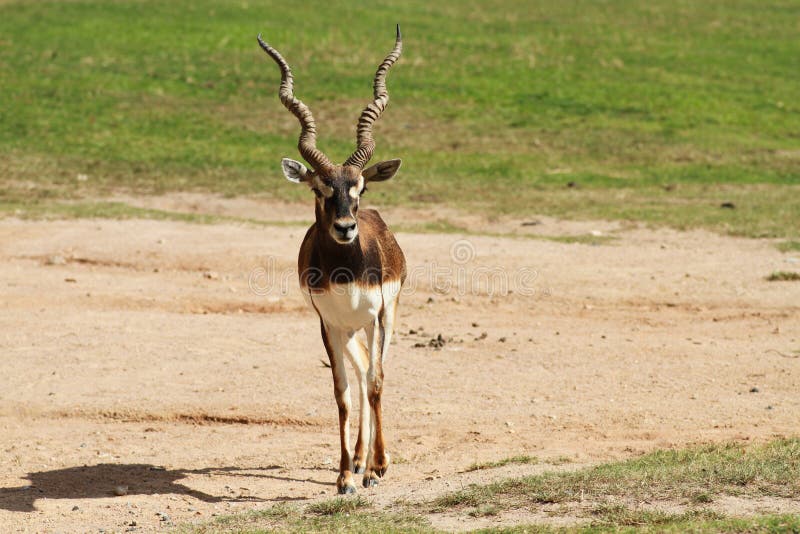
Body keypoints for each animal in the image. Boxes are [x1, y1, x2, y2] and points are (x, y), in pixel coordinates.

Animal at [257, 27, 406, 494]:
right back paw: (358, 460)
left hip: (382, 320)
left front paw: (378, 467)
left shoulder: (377, 314)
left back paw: (372, 463)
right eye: (319, 188)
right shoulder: (328, 322)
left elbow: (377, 381)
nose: (345, 227)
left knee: (374, 374)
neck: (346, 274)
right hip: (349, 328)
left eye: (360, 187)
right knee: (357, 374)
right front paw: (344, 476)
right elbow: (342, 391)